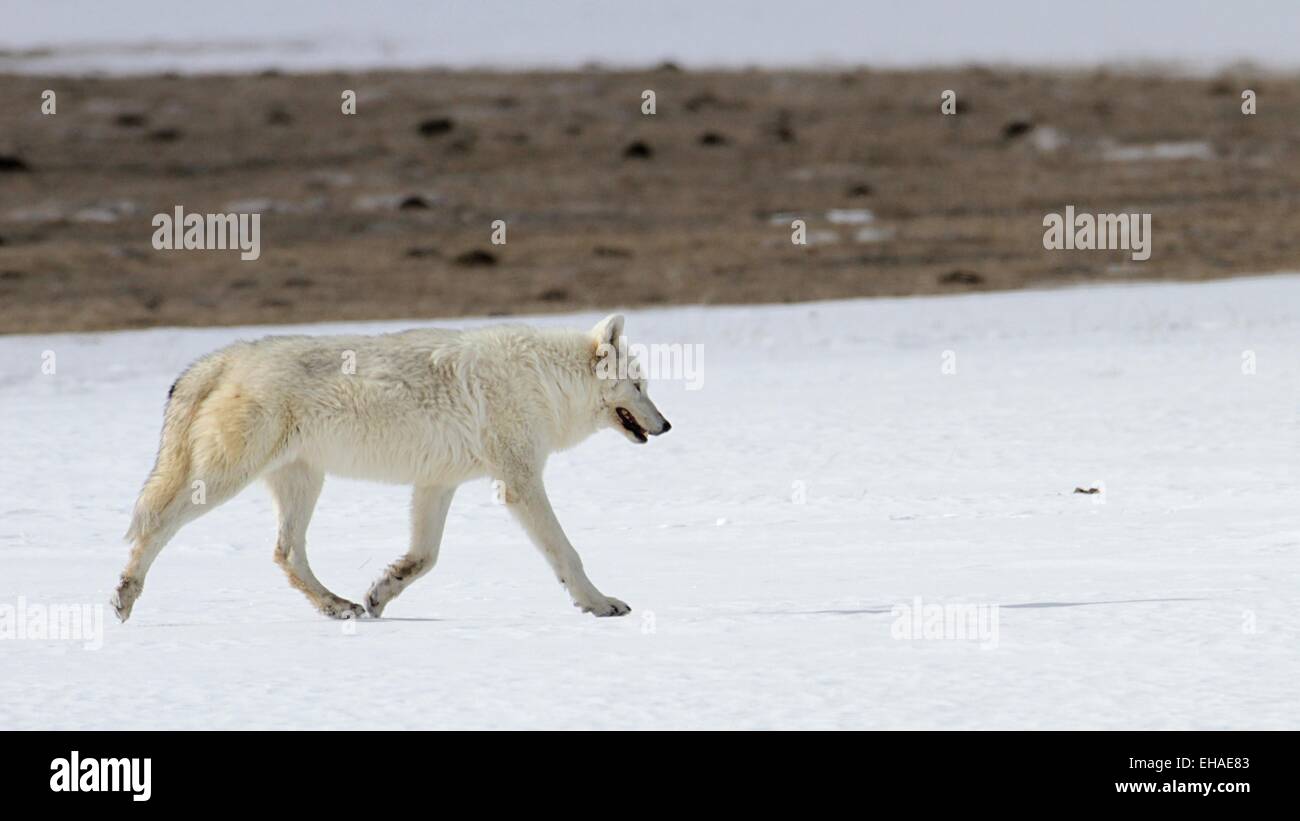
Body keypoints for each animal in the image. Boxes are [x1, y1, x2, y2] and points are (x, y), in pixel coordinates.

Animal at [111, 314, 670, 621]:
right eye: (640, 385)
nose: (666, 425)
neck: (545, 380)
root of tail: (221, 358)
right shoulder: (519, 482)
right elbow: (566, 553)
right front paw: (600, 604)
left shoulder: (437, 485)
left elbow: (424, 558)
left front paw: (380, 594)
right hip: (226, 480)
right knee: (156, 528)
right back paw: (123, 596)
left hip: (303, 483)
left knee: (286, 553)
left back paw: (339, 606)